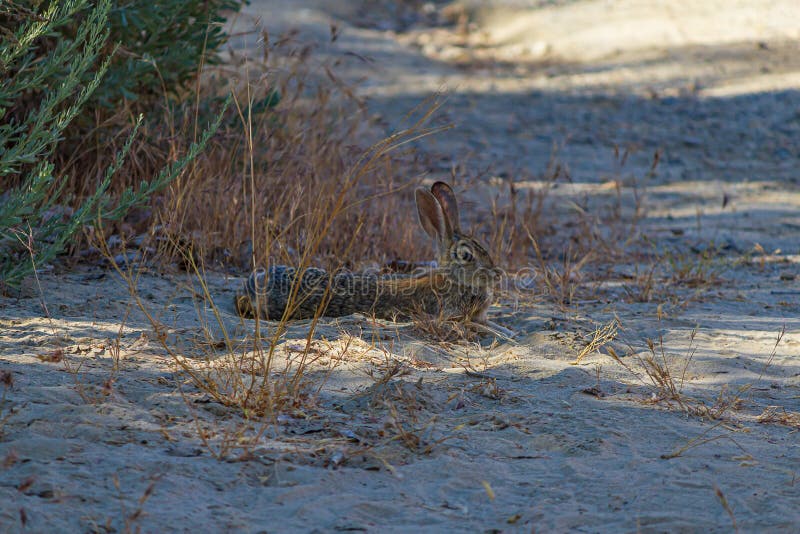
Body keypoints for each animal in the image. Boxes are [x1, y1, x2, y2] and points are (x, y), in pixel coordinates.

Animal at [235, 181, 514, 337]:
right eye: (466, 255)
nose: (497, 274)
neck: (454, 280)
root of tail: (252, 287)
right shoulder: (452, 316)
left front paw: (510, 332)